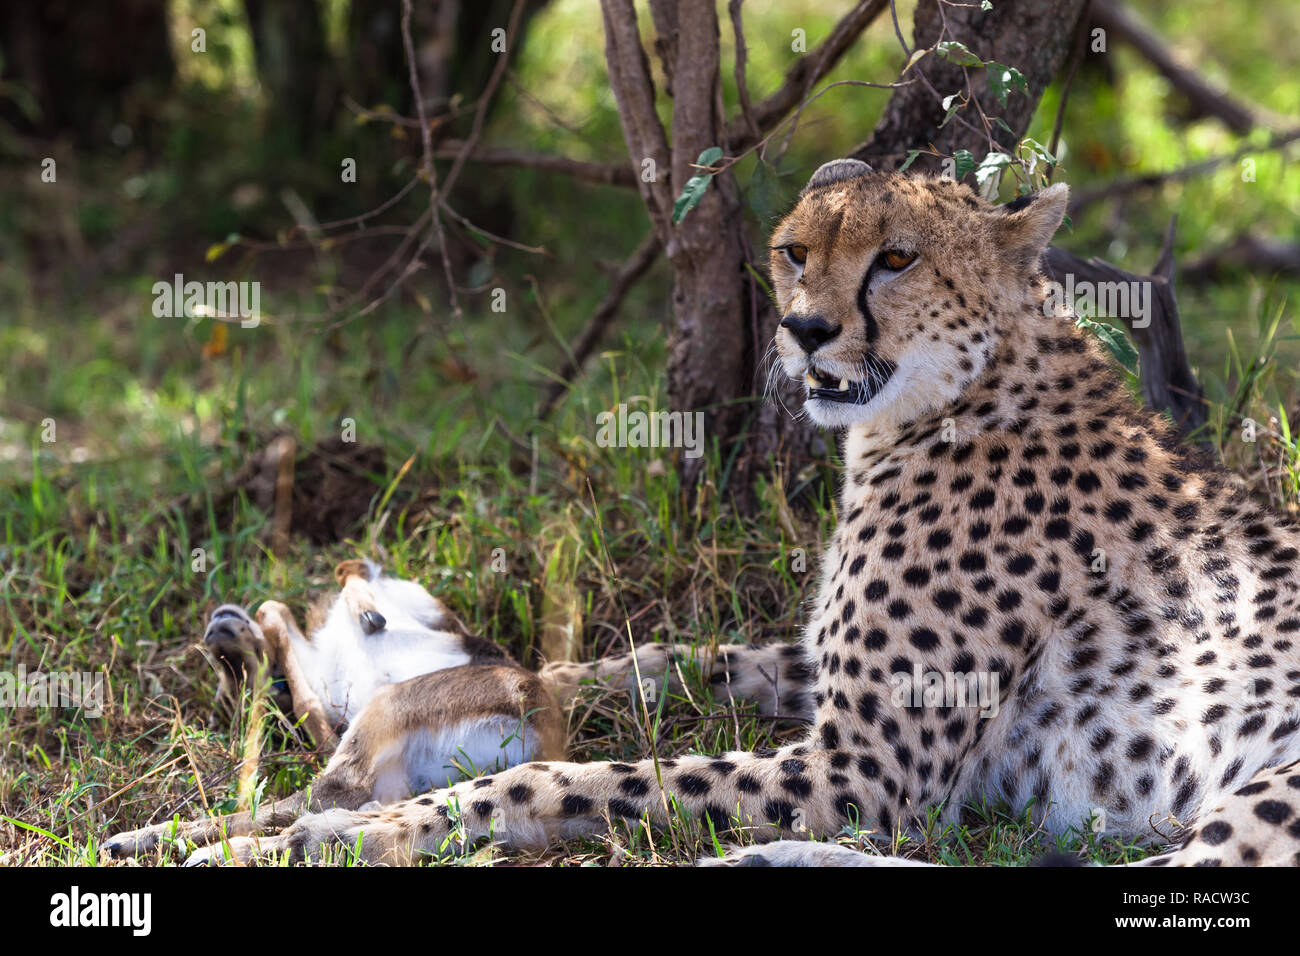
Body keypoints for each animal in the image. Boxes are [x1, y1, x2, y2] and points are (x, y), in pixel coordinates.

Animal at [115, 160, 1300, 867]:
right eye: (794, 249)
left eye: (897, 257)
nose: (805, 330)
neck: (958, 394)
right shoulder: (822, 686)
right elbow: (659, 660)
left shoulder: (863, 771)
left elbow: (554, 774)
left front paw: (318, 836)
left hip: (1267, 789)